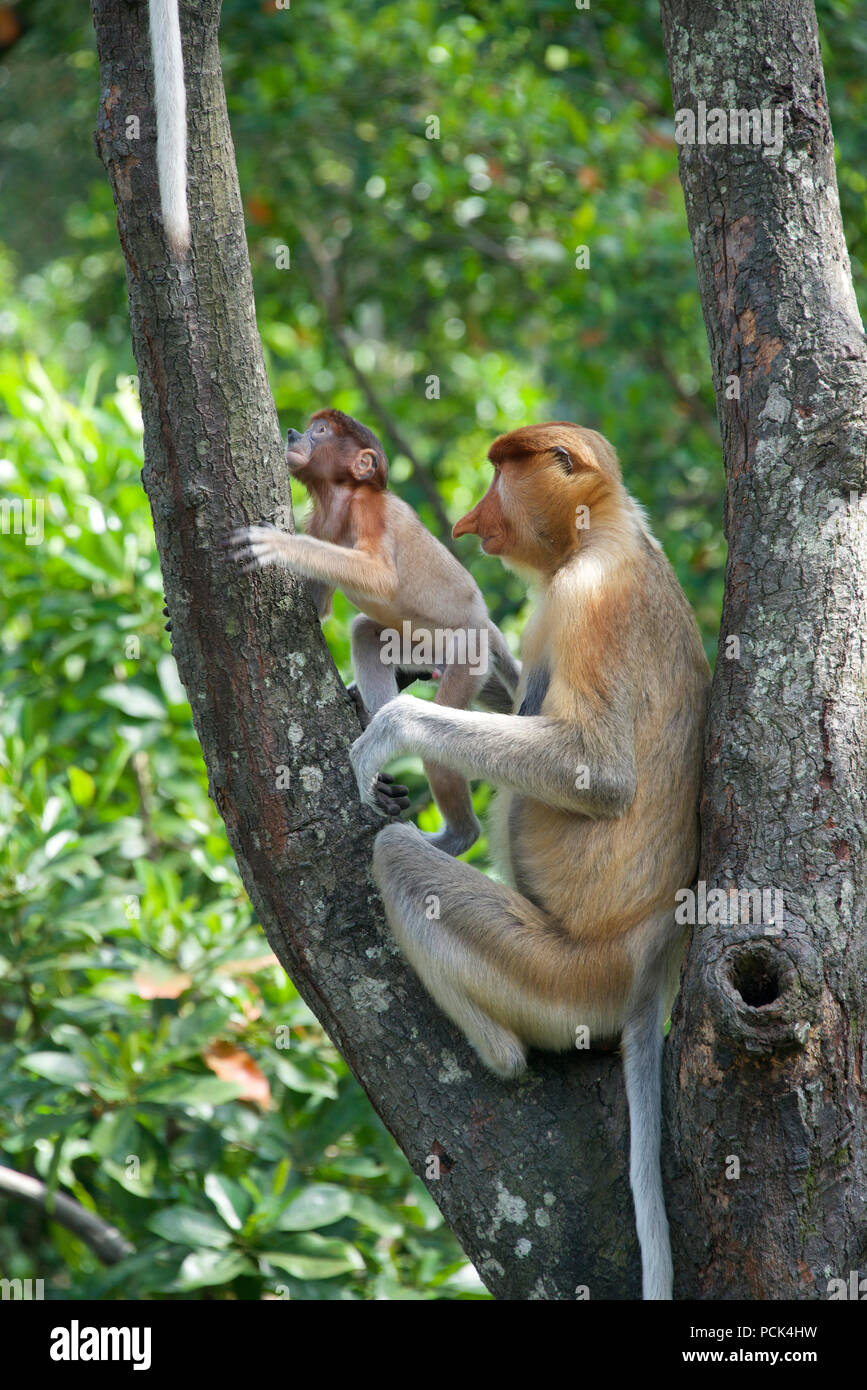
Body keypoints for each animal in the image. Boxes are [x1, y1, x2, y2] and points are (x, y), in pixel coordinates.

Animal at [229, 409, 521, 857]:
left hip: (467, 657)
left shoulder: (368, 509)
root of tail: (485, 624)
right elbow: (316, 607)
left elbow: (381, 577)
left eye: (320, 431)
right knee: (367, 633)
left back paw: (456, 836)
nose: (294, 434)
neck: (340, 495)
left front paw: (275, 544)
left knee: (437, 744)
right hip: (424, 648)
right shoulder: (322, 522)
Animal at [347, 422, 710, 1300]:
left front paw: (390, 724)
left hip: (564, 975)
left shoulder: (587, 596)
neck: (607, 529)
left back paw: (499, 1055)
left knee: (396, 859)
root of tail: (649, 961)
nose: (468, 522)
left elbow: (598, 774)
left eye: (498, 479)